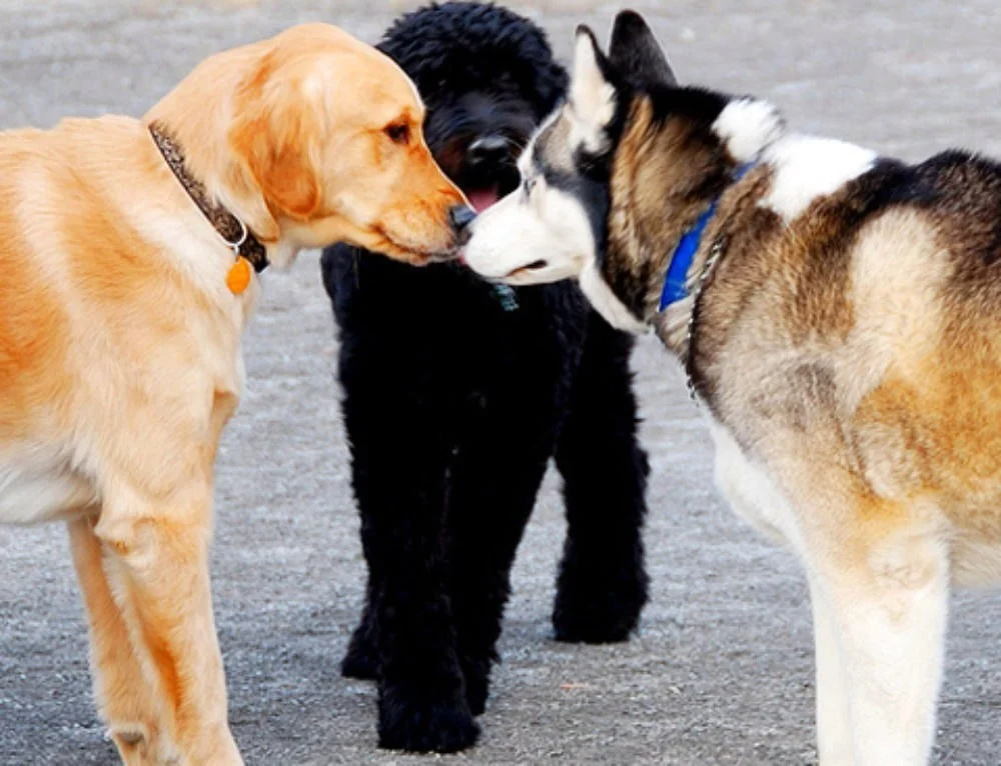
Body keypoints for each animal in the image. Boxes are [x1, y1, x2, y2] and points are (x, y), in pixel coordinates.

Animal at [0, 20, 468, 760]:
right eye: (395, 132)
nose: (469, 221)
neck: (192, 206)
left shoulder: (100, 520)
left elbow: (136, 709)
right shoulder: (161, 520)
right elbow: (203, 692)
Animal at [320, 1, 648, 752]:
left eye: (518, 81)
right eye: (437, 83)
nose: (494, 147)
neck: (462, 299)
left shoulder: (518, 415)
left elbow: (472, 551)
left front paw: (450, 686)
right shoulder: (390, 411)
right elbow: (408, 554)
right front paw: (420, 698)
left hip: (590, 369)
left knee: (612, 463)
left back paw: (600, 600)